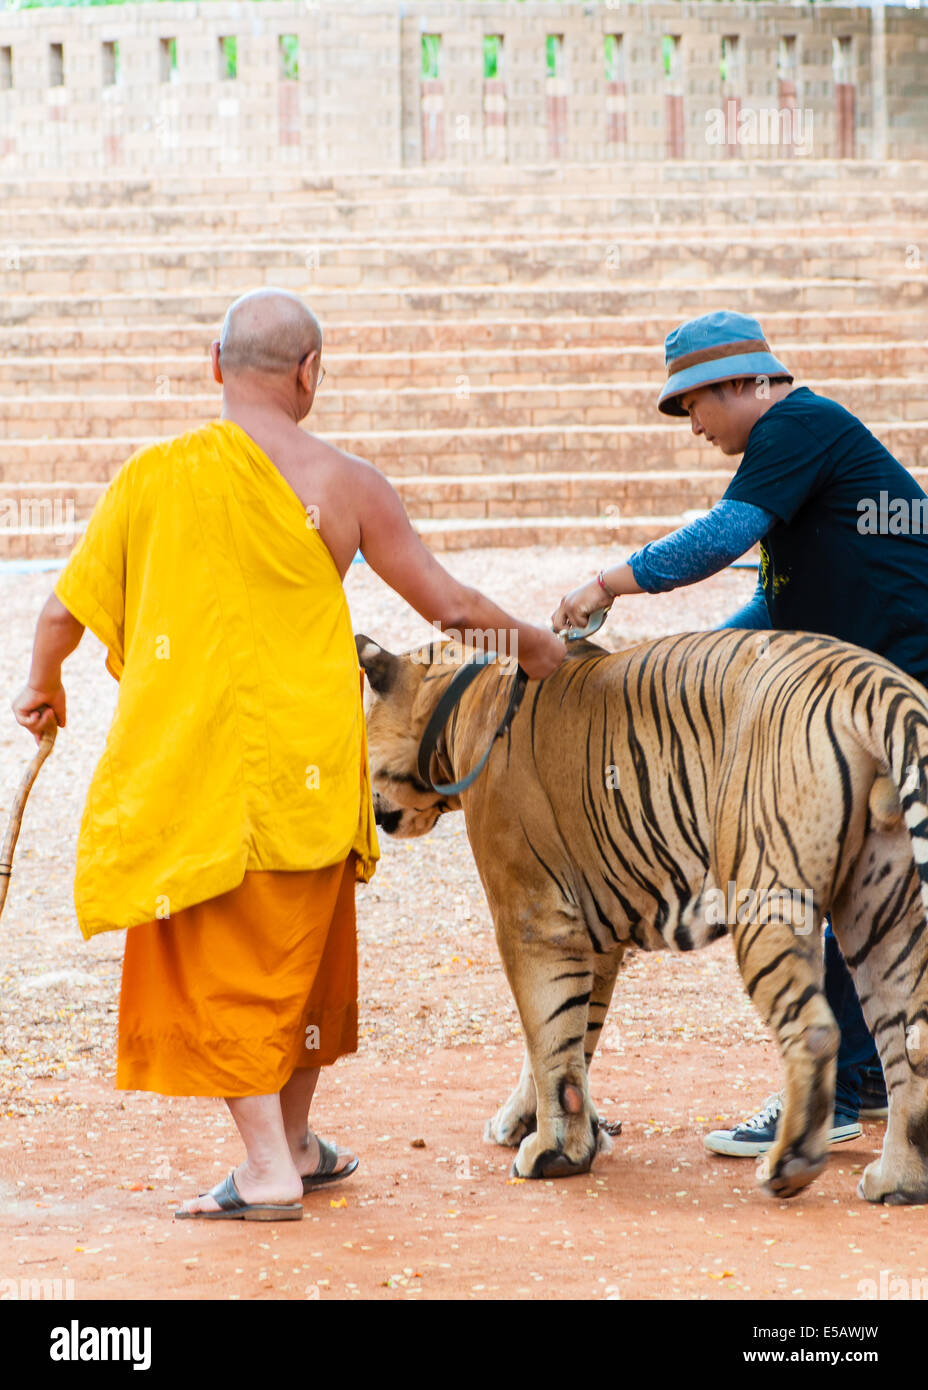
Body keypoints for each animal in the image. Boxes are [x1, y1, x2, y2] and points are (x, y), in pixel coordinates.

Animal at [355, 626, 928, 1204]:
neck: (454, 698)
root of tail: (874, 684)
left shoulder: (533, 915)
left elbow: (549, 1035)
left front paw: (555, 1152)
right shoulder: (595, 935)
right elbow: (569, 1038)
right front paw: (543, 1126)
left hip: (767, 893)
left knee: (814, 1032)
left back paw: (789, 1165)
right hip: (883, 915)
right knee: (906, 1043)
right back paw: (899, 1180)